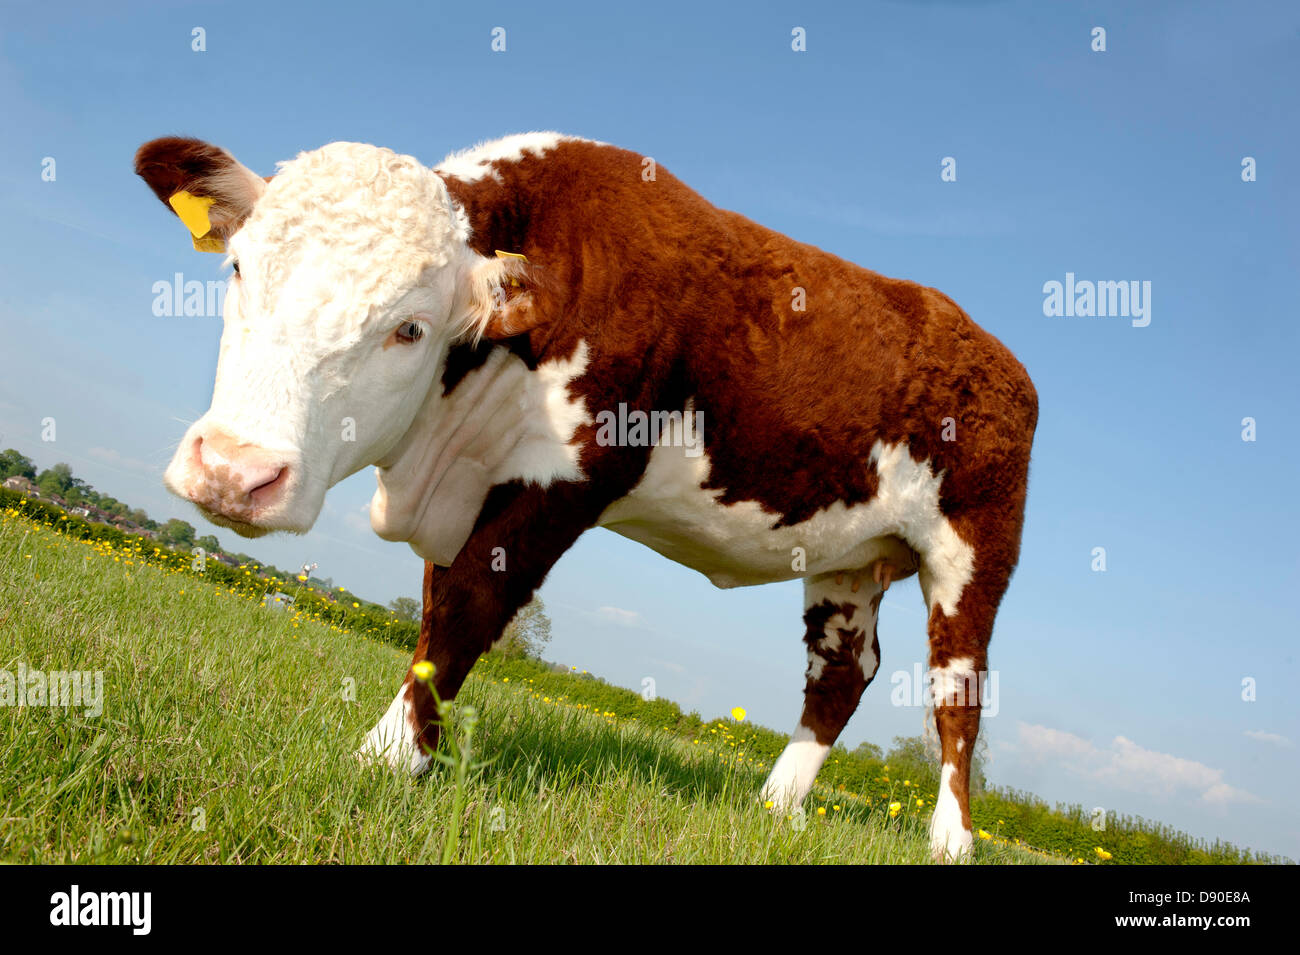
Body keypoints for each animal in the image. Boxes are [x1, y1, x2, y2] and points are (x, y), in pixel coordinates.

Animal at [134, 132, 1038, 862]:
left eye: (409, 327)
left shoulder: (575, 476)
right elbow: (434, 610)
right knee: (842, 671)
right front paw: (414, 746)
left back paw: (950, 839)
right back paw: (774, 806)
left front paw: (385, 757)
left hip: (974, 550)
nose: (234, 470)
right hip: (847, 553)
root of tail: (985, 343)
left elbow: (467, 608)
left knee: (957, 694)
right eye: (239, 268)